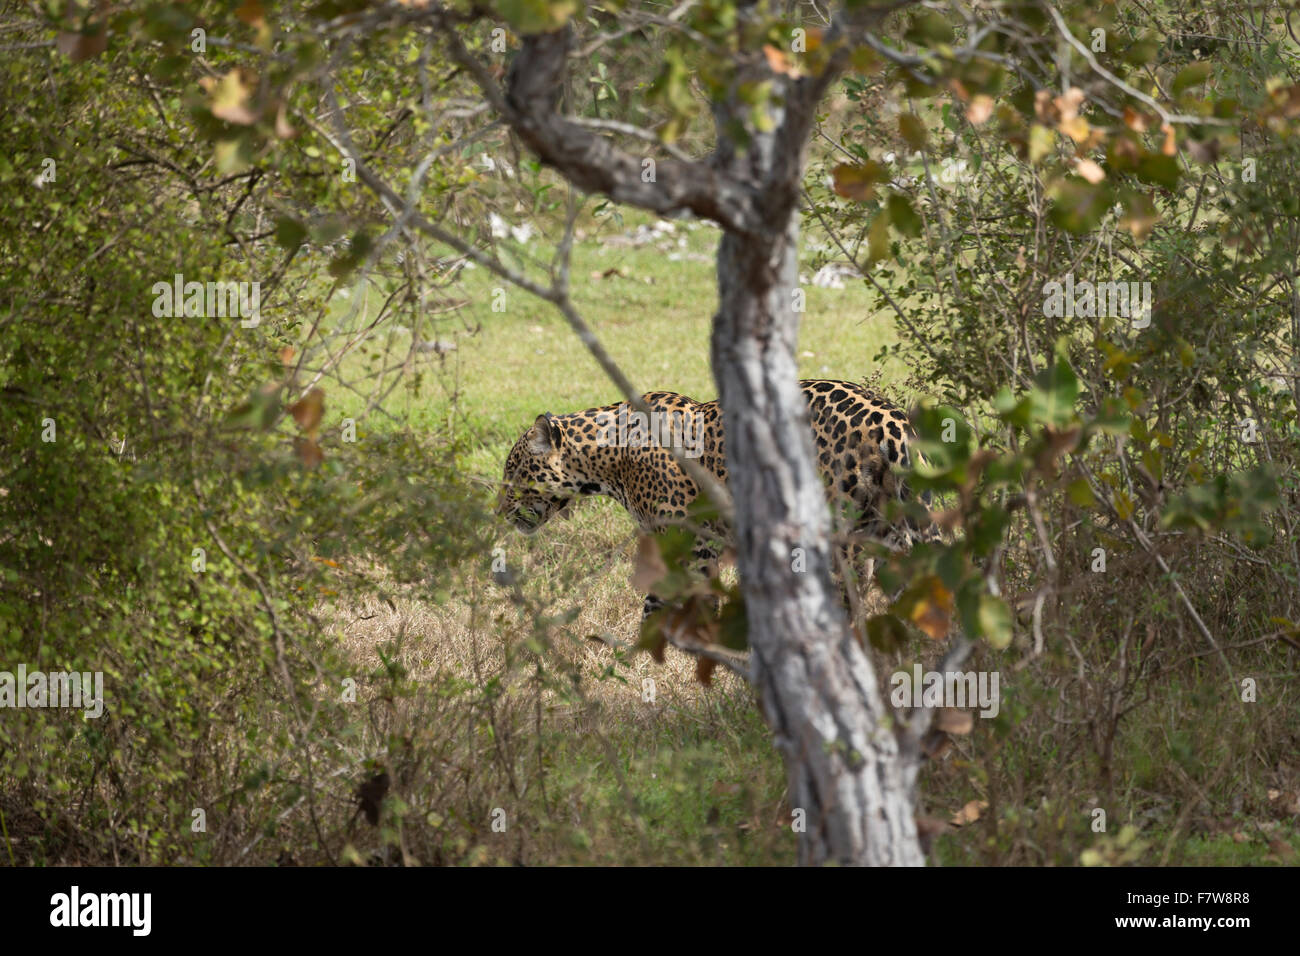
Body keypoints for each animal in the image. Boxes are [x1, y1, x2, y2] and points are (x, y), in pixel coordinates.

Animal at [495, 379, 932, 622]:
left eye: (513, 471)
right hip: (895, 532)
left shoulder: (688, 545)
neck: (608, 461)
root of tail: (893, 422)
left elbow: (662, 609)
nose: (499, 511)